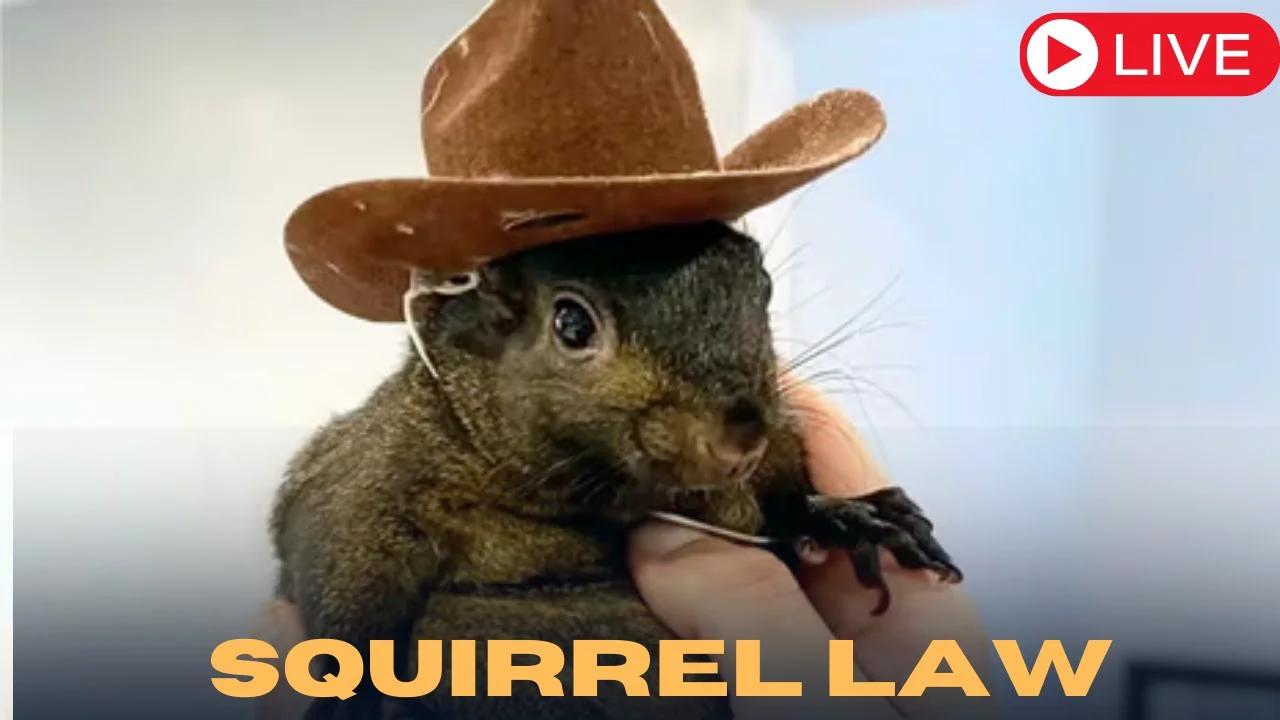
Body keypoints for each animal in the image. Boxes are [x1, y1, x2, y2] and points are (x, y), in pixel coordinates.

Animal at [271, 220, 961, 719]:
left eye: (761, 285)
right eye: (572, 323)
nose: (743, 434)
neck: (596, 495)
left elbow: (782, 505)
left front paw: (853, 517)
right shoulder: (361, 486)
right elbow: (343, 607)